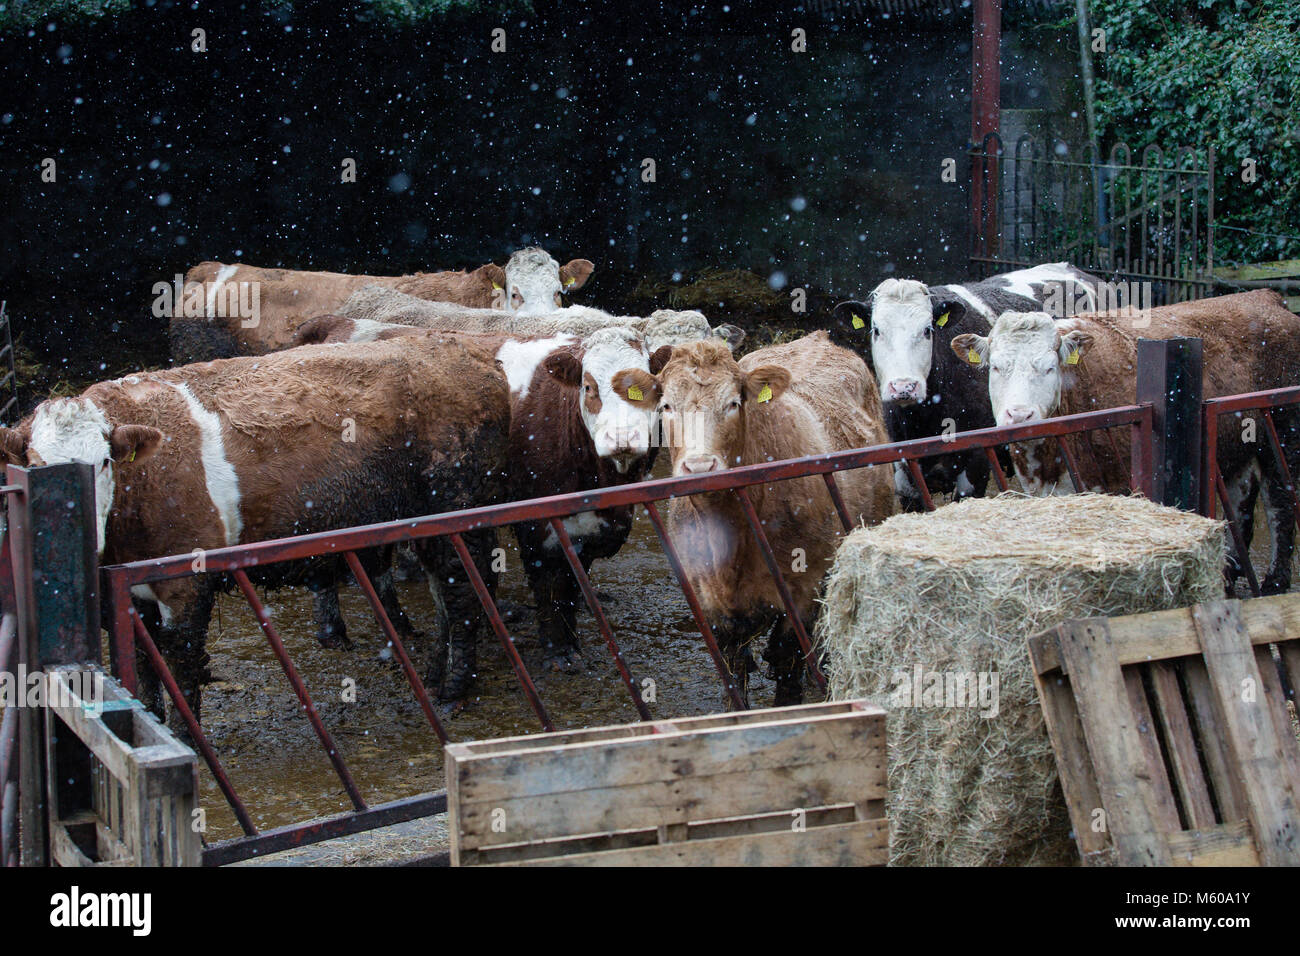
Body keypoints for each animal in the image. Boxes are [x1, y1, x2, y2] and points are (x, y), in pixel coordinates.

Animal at [0, 337, 512, 721]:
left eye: (104, 462)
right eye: (34, 465)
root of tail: (474, 359)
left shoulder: (185, 585)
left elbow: (181, 669)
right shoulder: (132, 593)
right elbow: (145, 668)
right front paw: (153, 719)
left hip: (458, 512)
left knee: (463, 594)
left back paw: (453, 688)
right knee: (446, 593)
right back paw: (435, 672)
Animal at [611, 331, 897, 707]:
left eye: (733, 403)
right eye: (666, 406)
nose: (699, 467)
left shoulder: (802, 589)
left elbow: (788, 660)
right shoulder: (709, 600)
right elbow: (734, 670)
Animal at [951, 289, 1300, 593]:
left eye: (1050, 368)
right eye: (996, 367)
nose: (1020, 415)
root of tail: (1267, 297)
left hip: (1282, 432)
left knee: (1280, 503)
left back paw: (1274, 582)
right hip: (1237, 448)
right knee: (1240, 502)